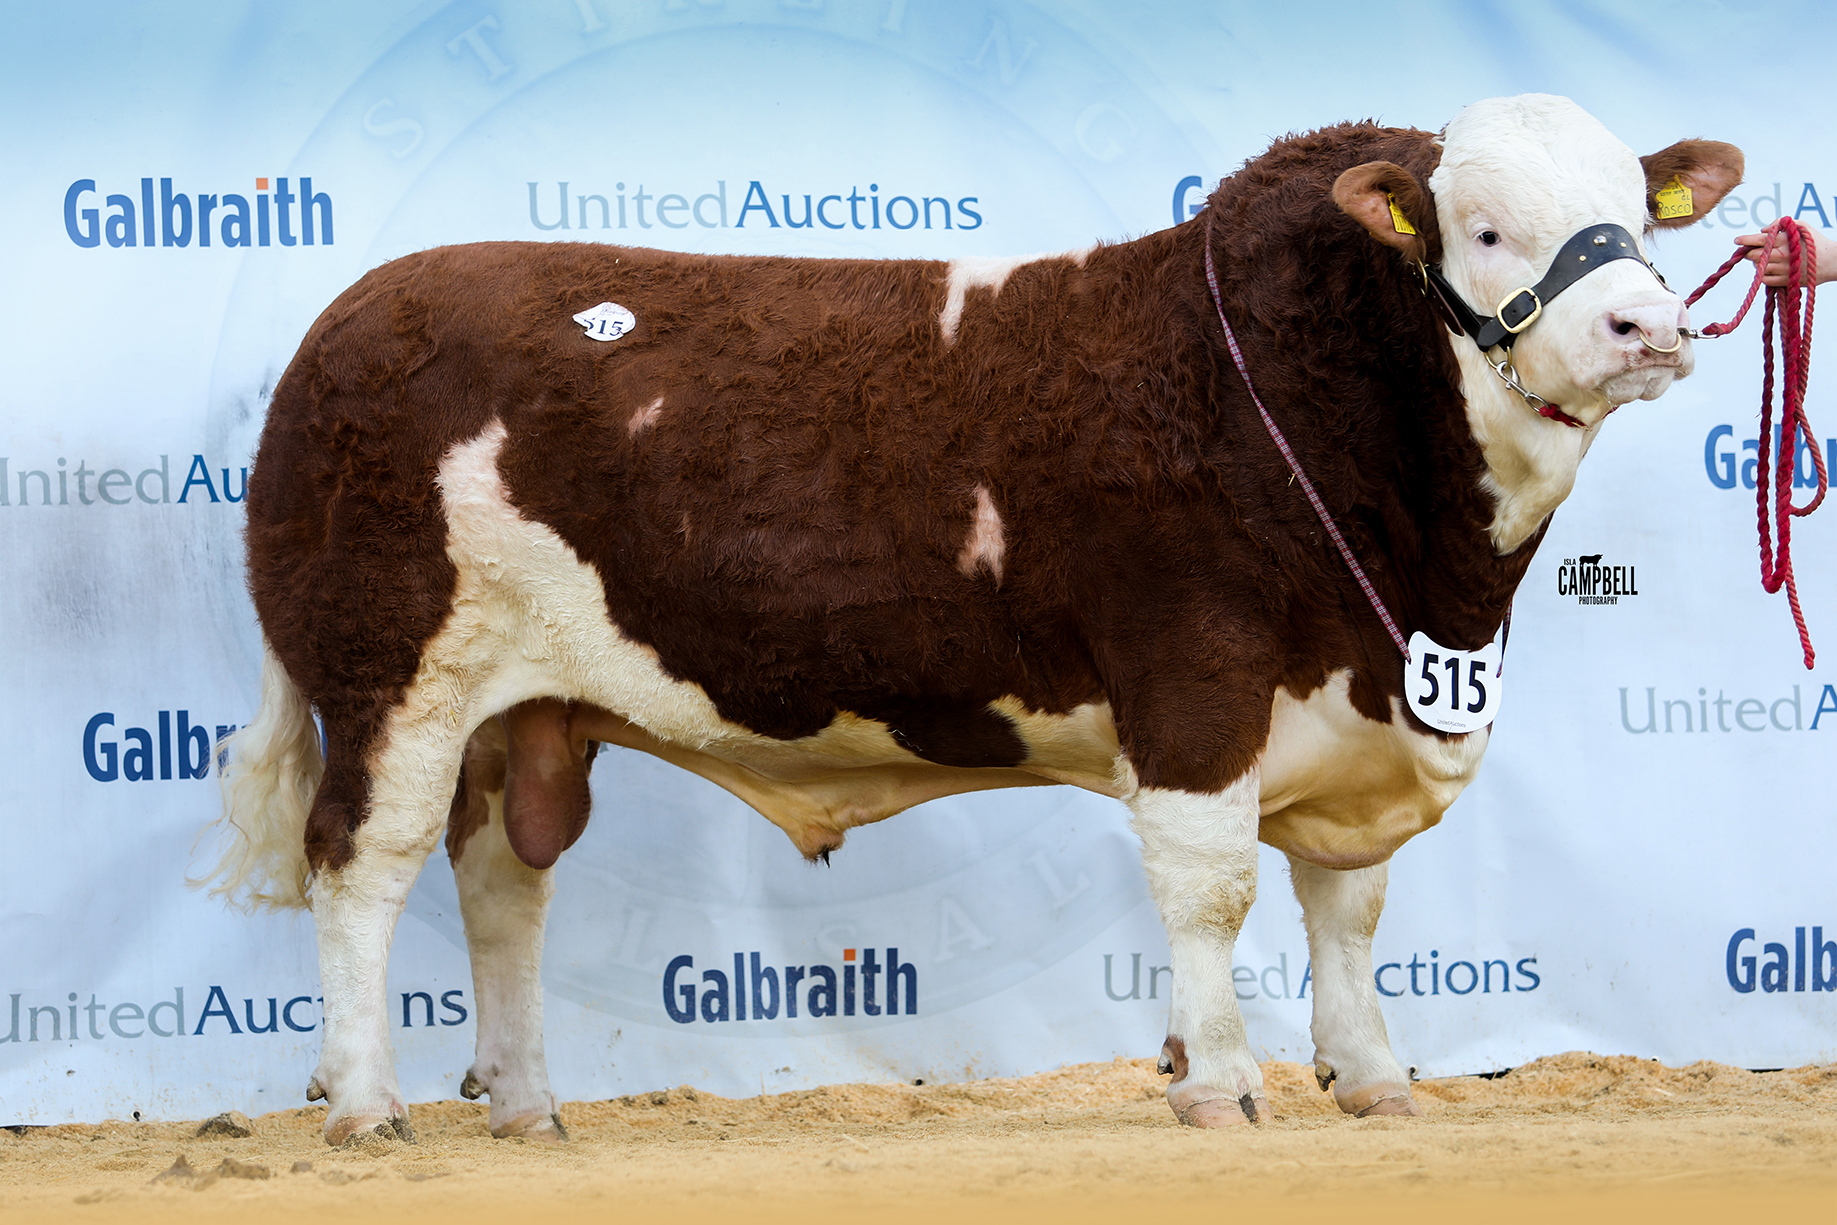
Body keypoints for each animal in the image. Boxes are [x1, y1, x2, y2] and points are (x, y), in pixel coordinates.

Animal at [205, 94, 1741, 1145]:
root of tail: (351, 319)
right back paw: (365, 1104)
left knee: (499, 885)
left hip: (520, 712)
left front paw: (1372, 1079)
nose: (1646, 326)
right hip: (390, 679)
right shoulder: (1194, 679)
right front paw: (1221, 1081)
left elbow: (1347, 905)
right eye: (1483, 228)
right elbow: (1213, 887)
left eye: (1643, 213)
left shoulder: (1362, 698)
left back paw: (526, 1105)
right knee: (361, 865)